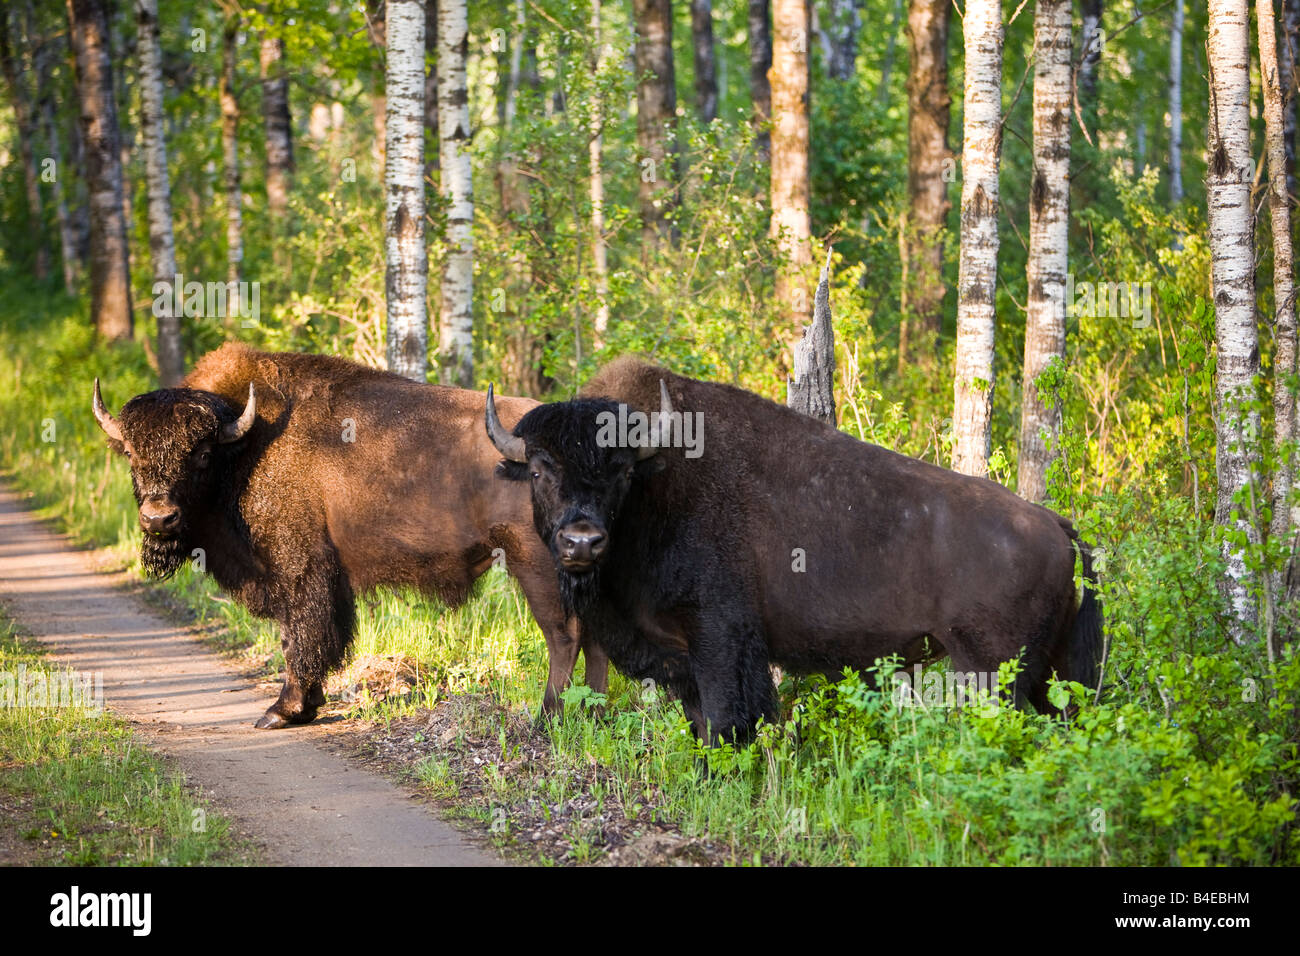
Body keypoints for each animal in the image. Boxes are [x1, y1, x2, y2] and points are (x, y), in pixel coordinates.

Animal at [93, 343, 606, 728]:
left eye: (199, 453)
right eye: (131, 453)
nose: (159, 518)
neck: (244, 444)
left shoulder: (299, 570)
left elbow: (299, 637)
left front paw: (282, 711)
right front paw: (305, 706)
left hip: (536, 564)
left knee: (564, 634)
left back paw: (548, 716)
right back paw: (591, 713)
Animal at [485, 357, 1102, 745]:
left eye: (620, 474)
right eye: (538, 469)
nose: (581, 541)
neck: (656, 486)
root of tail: (1057, 526)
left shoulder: (720, 641)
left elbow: (725, 722)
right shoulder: (681, 658)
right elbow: (700, 723)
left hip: (993, 674)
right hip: (1044, 672)